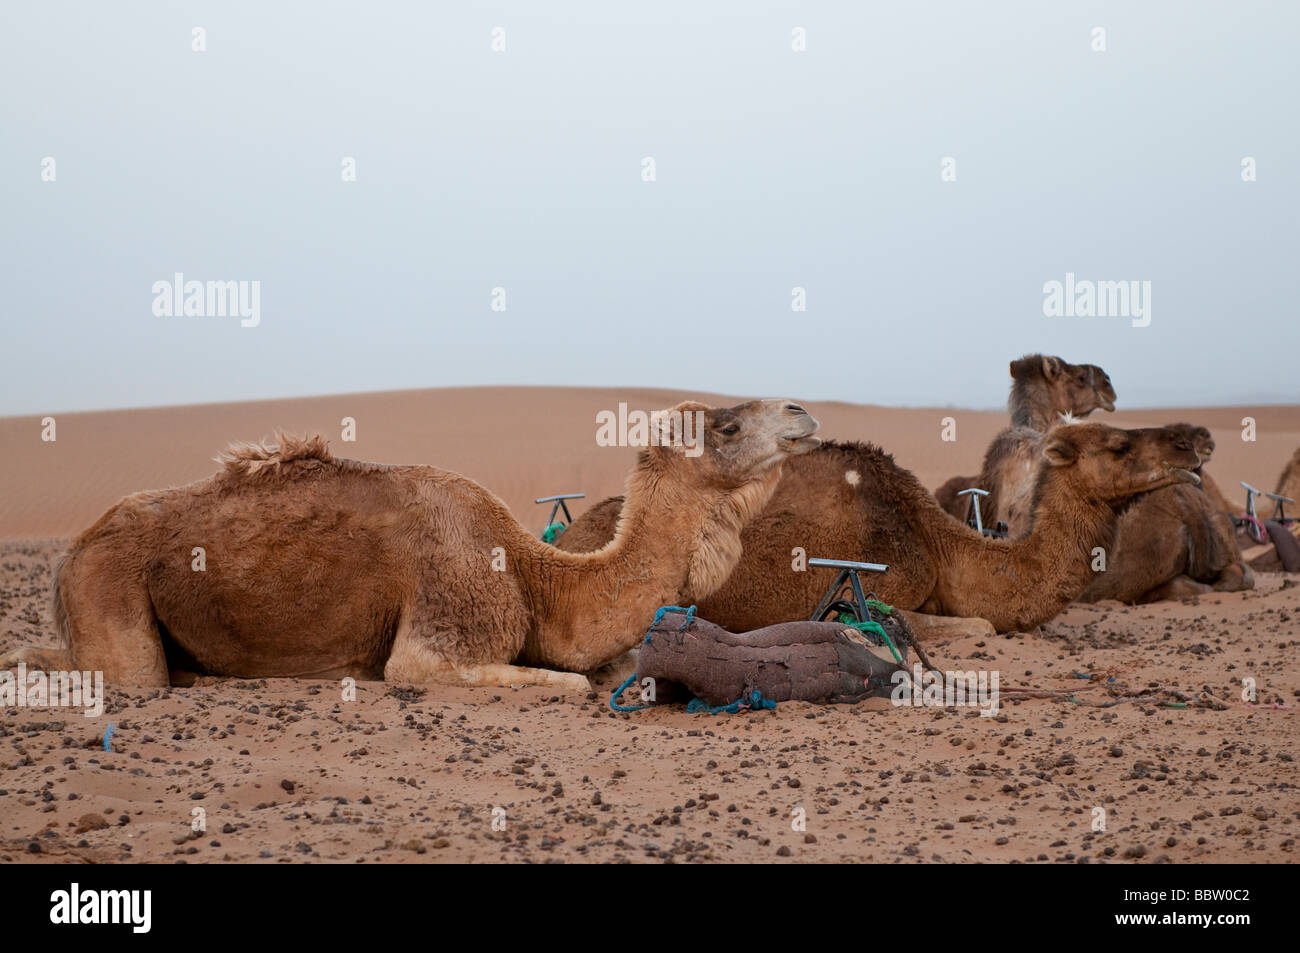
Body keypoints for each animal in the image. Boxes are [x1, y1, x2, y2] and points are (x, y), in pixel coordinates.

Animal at [2, 400, 820, 691]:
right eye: (726, 426)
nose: (803, 414)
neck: (533, 572)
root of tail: (74, 547)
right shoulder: (437, 636)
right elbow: (569, 682)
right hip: (108, 586)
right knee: (127, 674)